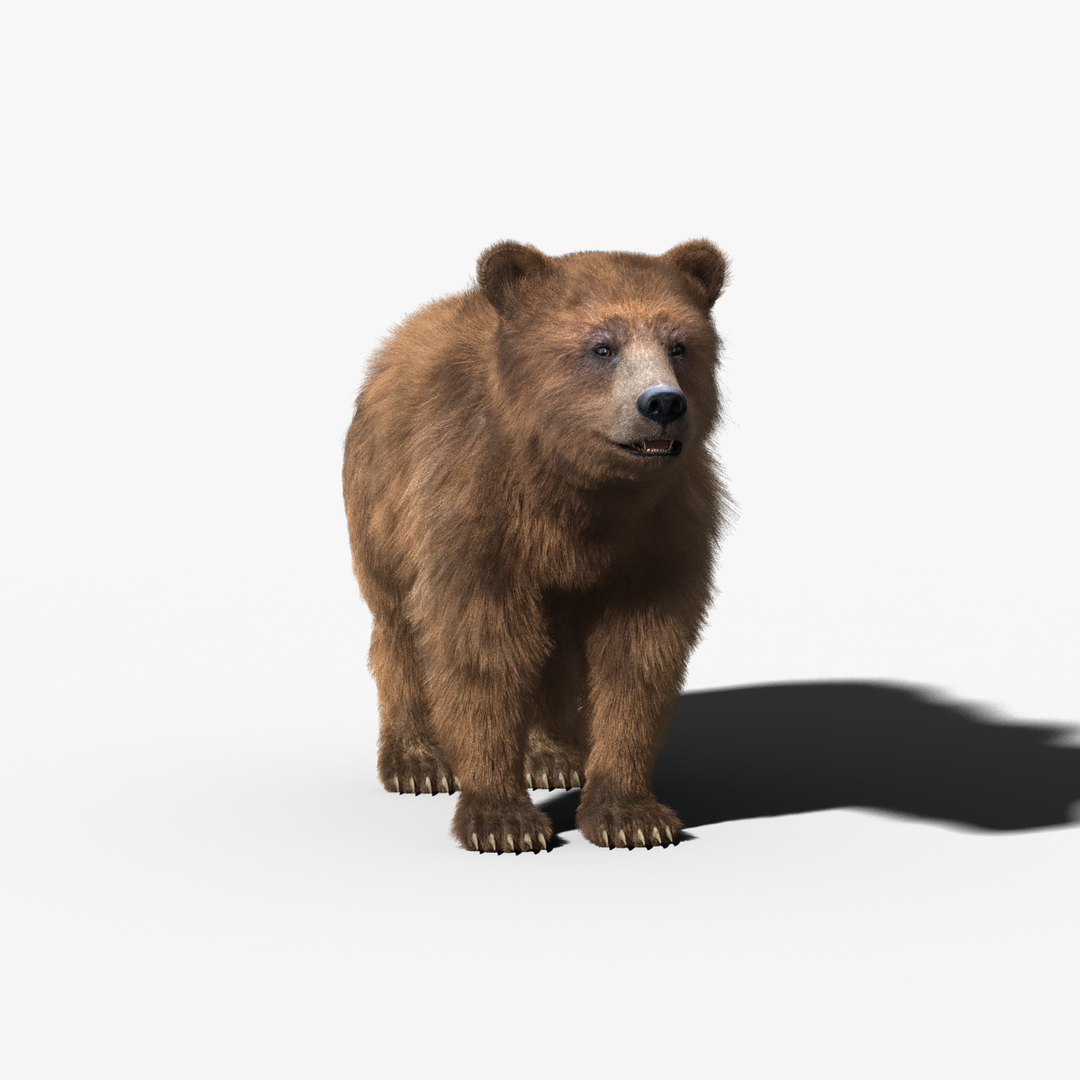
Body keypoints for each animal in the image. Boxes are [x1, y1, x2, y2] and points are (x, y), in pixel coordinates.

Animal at [343, 239, 729, 852]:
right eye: (602, 346)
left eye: (680, 345)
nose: (663, 404)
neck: (577, 492)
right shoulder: (478, 516)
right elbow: (482, 651)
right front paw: (501, 821)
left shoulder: (658, 538)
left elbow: (637, 656)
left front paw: (631, 815)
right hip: (382, 504)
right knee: (399, 625)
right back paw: (417, 762)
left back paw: (554, 757)